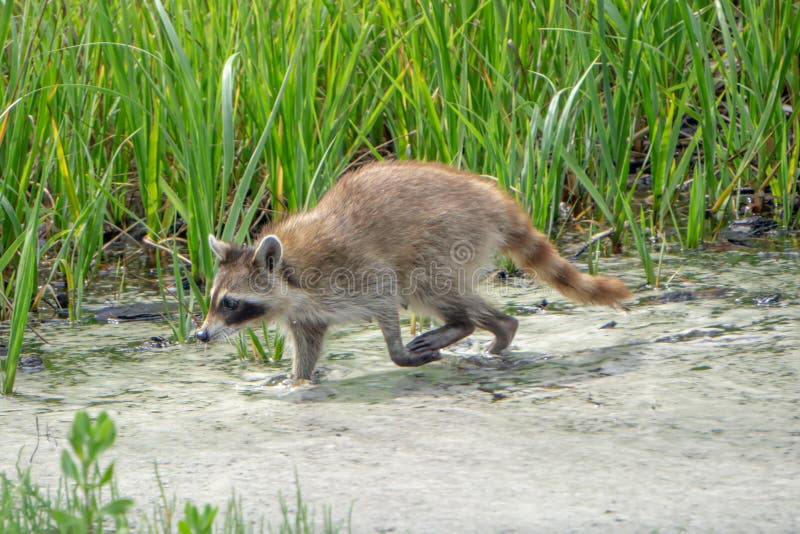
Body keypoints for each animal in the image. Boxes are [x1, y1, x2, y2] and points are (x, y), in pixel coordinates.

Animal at [196, 160, 631, 380]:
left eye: (231, 303)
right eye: (213, 300)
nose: (200, 334)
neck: (289, 272)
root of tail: (493, 200)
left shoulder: (352, 272)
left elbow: (385, 296)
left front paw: (397, 352)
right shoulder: (306, 314)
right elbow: (308, 346)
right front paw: (297, 381)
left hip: (447, 240)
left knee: (429, 288)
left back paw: (485, 328)